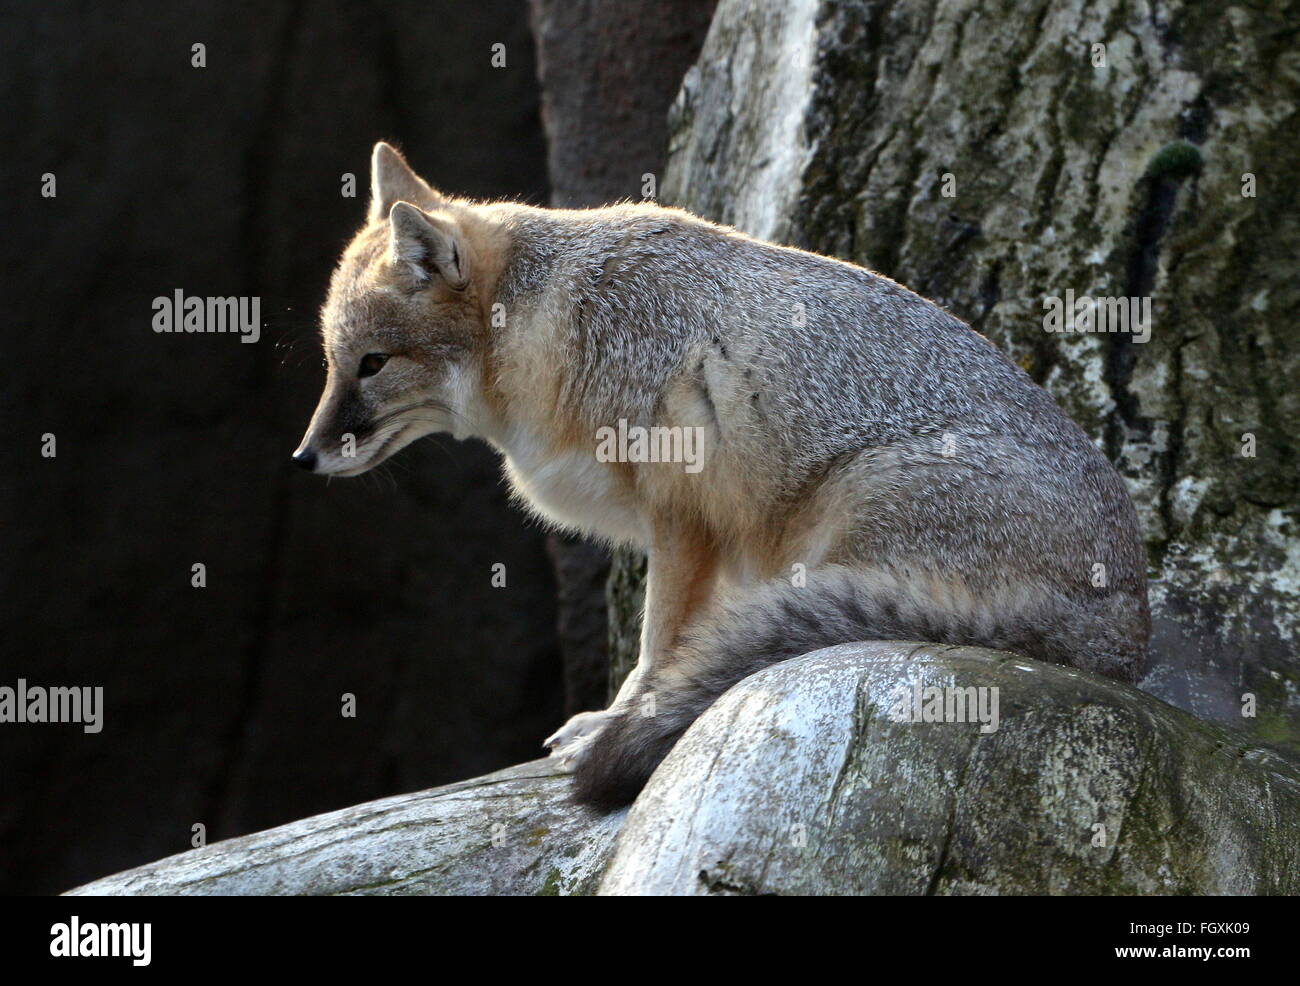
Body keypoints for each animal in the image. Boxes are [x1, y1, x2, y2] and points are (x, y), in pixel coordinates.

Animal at [294, 142, 1150, 810]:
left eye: (372, 365)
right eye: (334, 364)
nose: (304, 458)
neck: (556, 322)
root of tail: (1130, 623)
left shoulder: (683, 517)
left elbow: (660, 645)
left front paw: (615, 721)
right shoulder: (714, 541)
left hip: (850, 509)